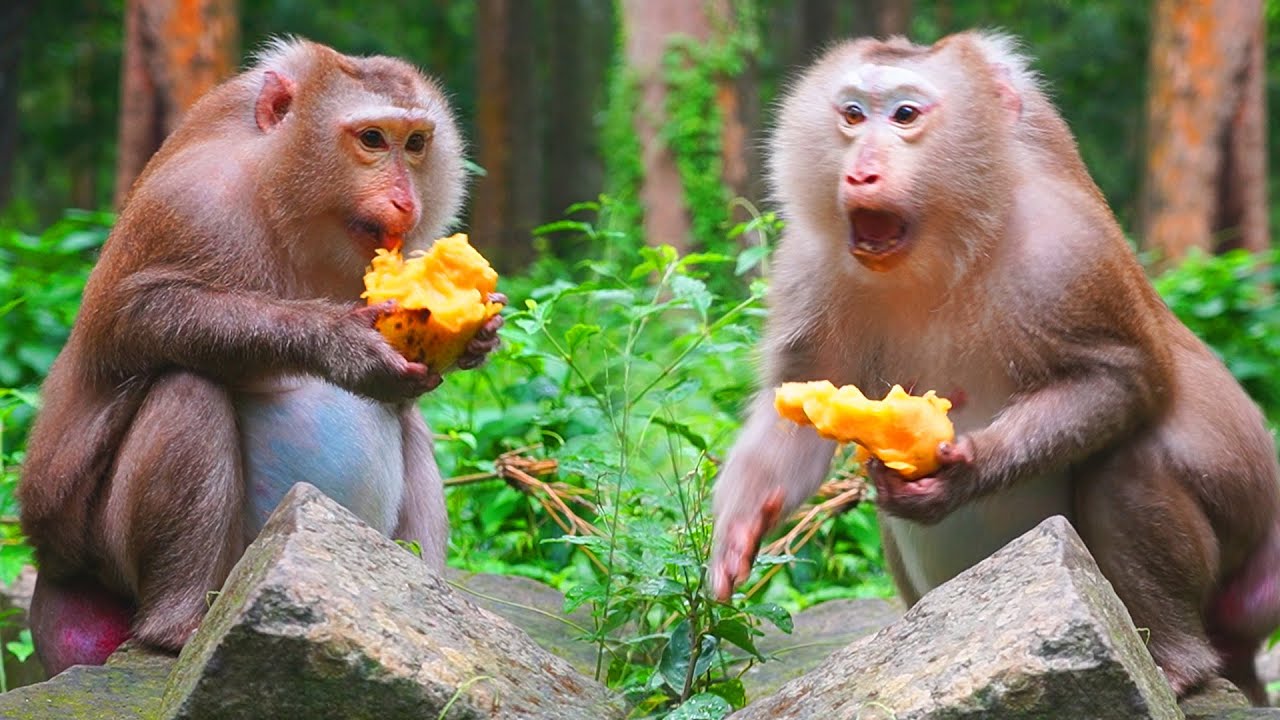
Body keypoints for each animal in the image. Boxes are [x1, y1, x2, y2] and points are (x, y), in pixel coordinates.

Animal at [17, 39, 504, 676]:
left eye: (417, 143)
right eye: (373, 139)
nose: (406, 202)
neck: (280, 195)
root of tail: (56, 567)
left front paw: (481, 336)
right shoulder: (193, 204)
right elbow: (133, 317)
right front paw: (339, 344)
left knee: (407, 421)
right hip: (104, 554)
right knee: (187, 386)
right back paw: (176, 628)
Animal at [708, 31, 1280, 704]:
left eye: (904, 114)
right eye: (852, 114)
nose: (861, 170)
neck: (944, 246)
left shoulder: (1069, 250)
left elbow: (1125, 379)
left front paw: (965, 472)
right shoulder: (806, 265)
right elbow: (794, 403)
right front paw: (740, 526)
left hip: (1248, 533)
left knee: (1134, 456)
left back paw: (1179, 662)